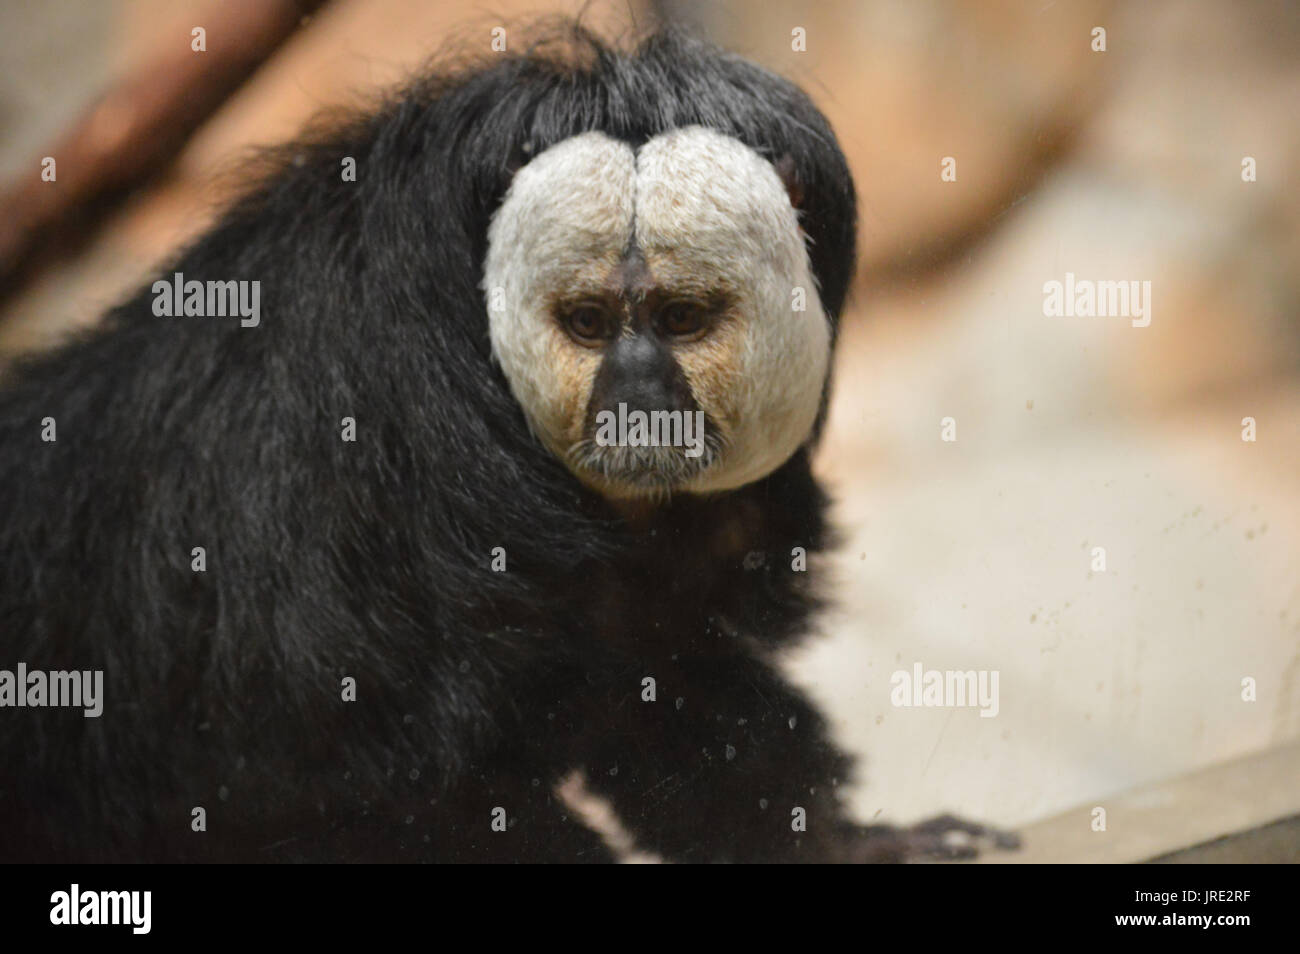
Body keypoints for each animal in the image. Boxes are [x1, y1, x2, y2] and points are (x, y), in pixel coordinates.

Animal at [0, 22, 1015, 863]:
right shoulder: (350, 471)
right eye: (590, 321)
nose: (638, 395)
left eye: (682, 318)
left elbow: (667, 677)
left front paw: (845, 842)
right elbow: (366, 783)